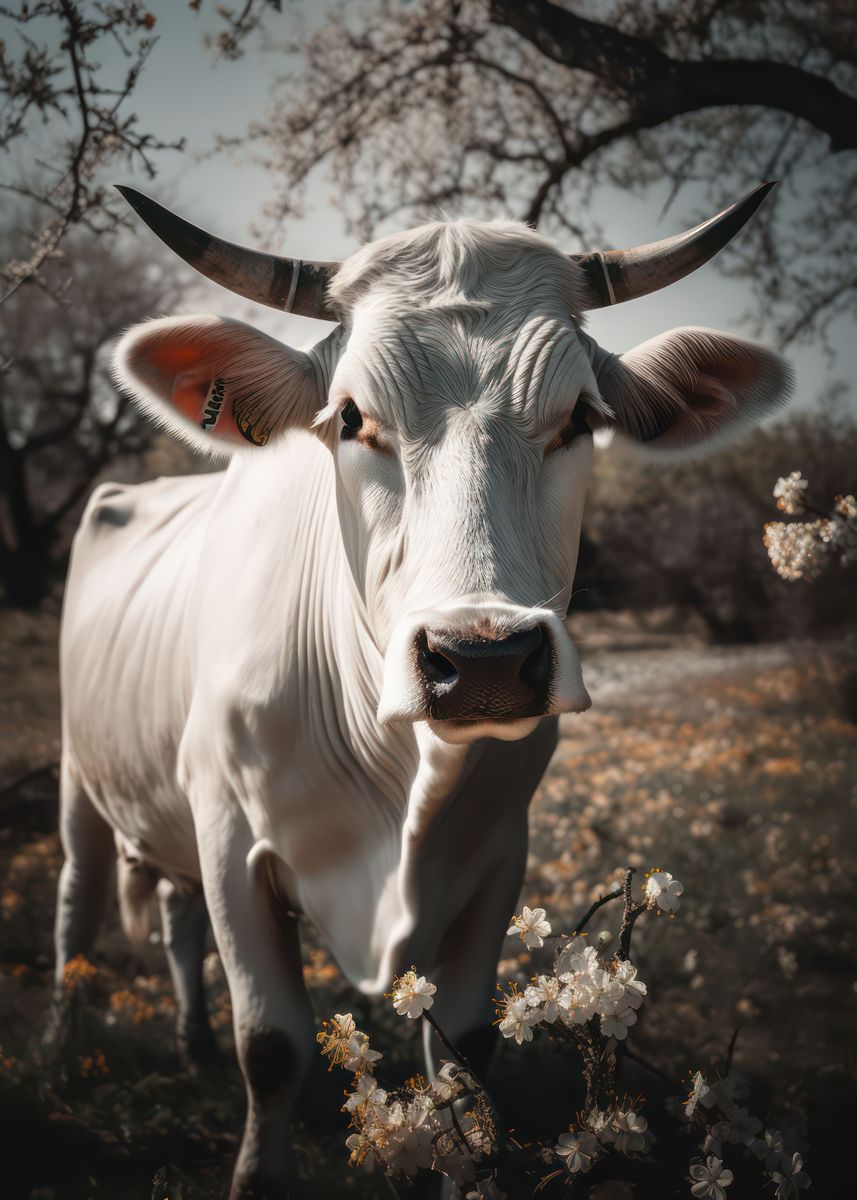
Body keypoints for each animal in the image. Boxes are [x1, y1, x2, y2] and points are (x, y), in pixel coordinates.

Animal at [50, 183, 791, 1198]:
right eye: (349, 418)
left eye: (579, 419)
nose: (480, 659)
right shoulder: (231, 835)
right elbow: (271, 1048)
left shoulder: (496, 853)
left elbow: (465, 1061)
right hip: (78, 782)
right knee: (76, 915)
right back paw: (63, 1055)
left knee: (171, 913)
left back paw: (188, 1036)